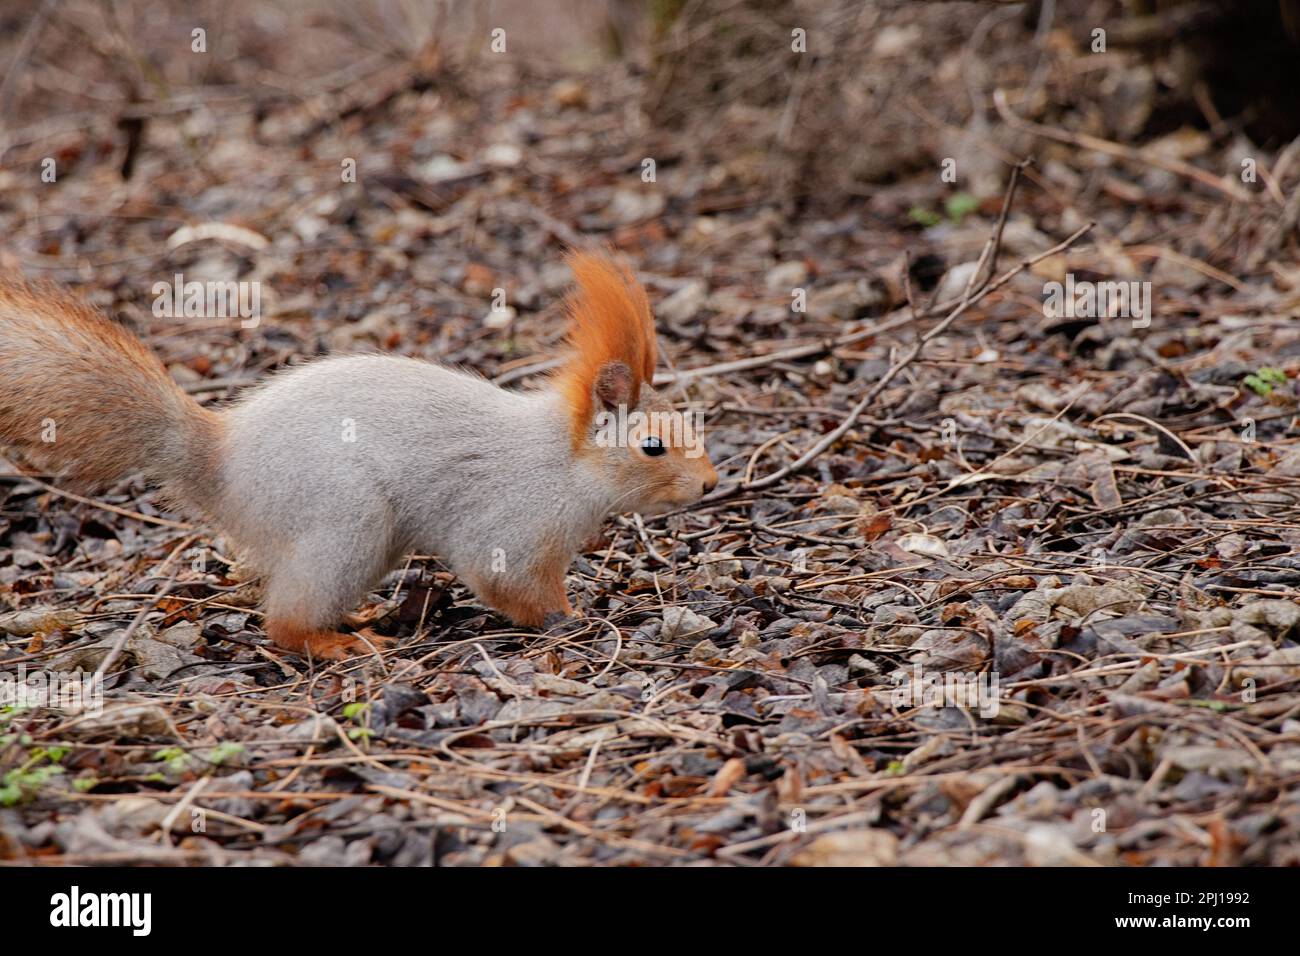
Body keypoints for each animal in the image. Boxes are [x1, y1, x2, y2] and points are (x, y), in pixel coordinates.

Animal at [0, 252, 718, 659]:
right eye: (652, 446)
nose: (711, 485)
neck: (564, 465)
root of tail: (221, 462)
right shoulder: (509, 520)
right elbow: (507, 581)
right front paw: (567, 616)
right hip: (346, 519)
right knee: (284, 621)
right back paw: (333, 641)